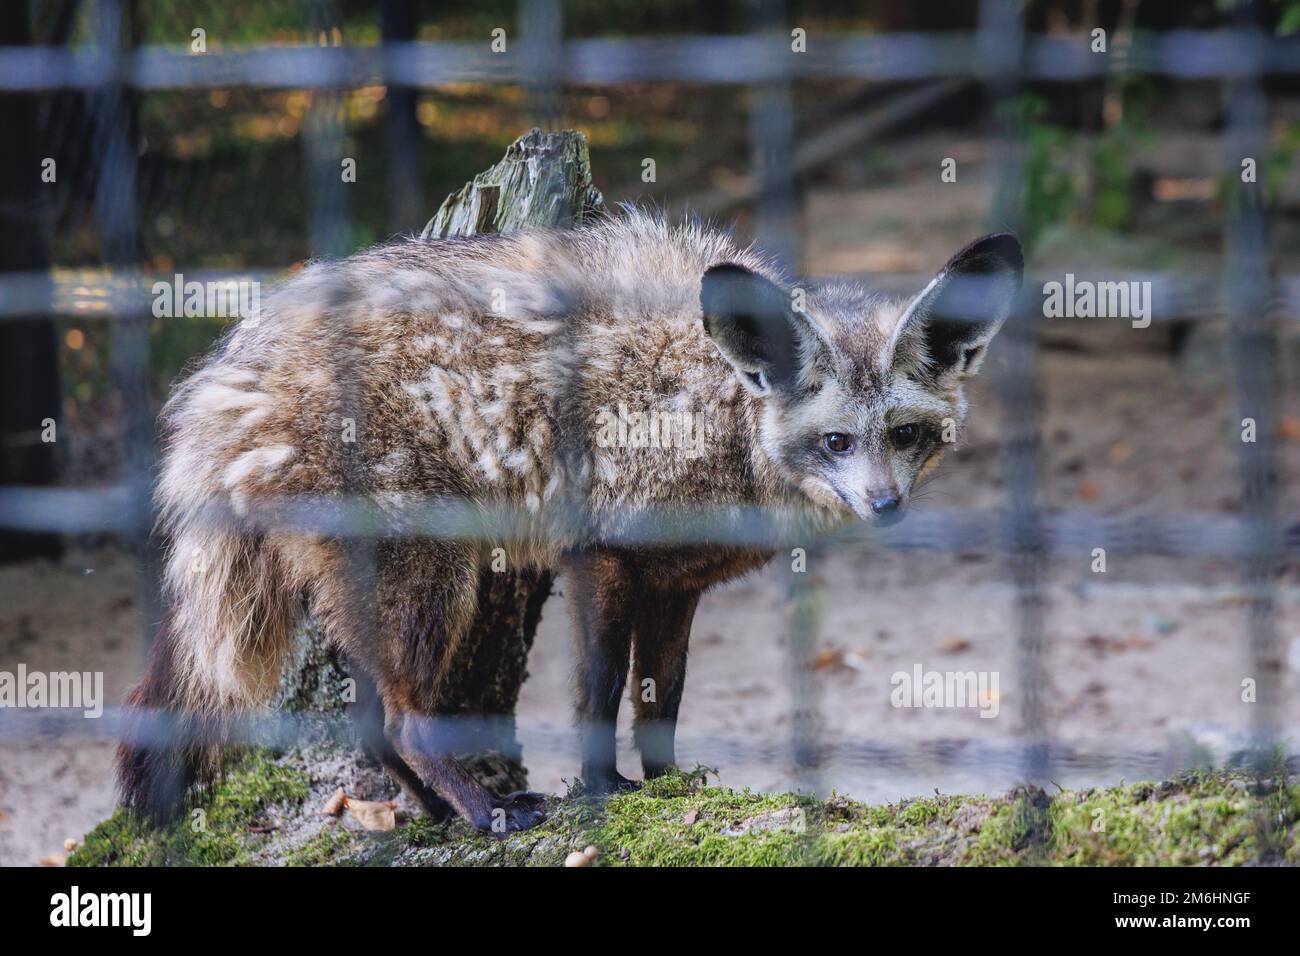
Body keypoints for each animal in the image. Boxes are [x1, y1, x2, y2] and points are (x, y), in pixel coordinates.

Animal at [117, 210, 1022, 833]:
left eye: (904, 436)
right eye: (836, 441)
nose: (886, 506)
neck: (719, 413)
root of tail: (228, 377)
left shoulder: (677, 584)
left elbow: (662, 701)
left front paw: (664, 787)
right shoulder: (603, 557)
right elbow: (599, 691)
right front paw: (600, 791)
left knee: (373, 726)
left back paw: (440, 814)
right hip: (433, 580)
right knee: (405, 719)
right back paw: (485, 811)